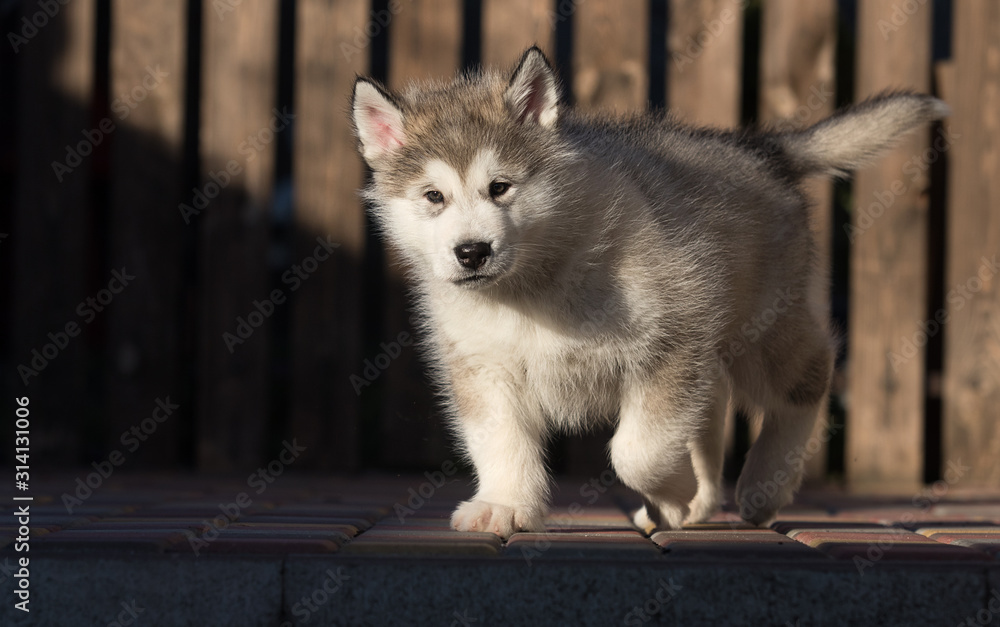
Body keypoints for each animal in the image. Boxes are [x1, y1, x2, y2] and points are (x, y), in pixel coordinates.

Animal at [351, 47, 948, 538]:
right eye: (433, 197)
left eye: (500, 187)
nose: (472, 252)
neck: (530, 289)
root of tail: (757, 148)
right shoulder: (483, 366)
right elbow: (500, 440)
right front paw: (504, 504)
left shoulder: (671, 343)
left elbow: (636, 453)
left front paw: (676, 494)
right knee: (716, 403)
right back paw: (706, 500)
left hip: (763, 330)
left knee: (810, 377)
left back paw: (763, 485)